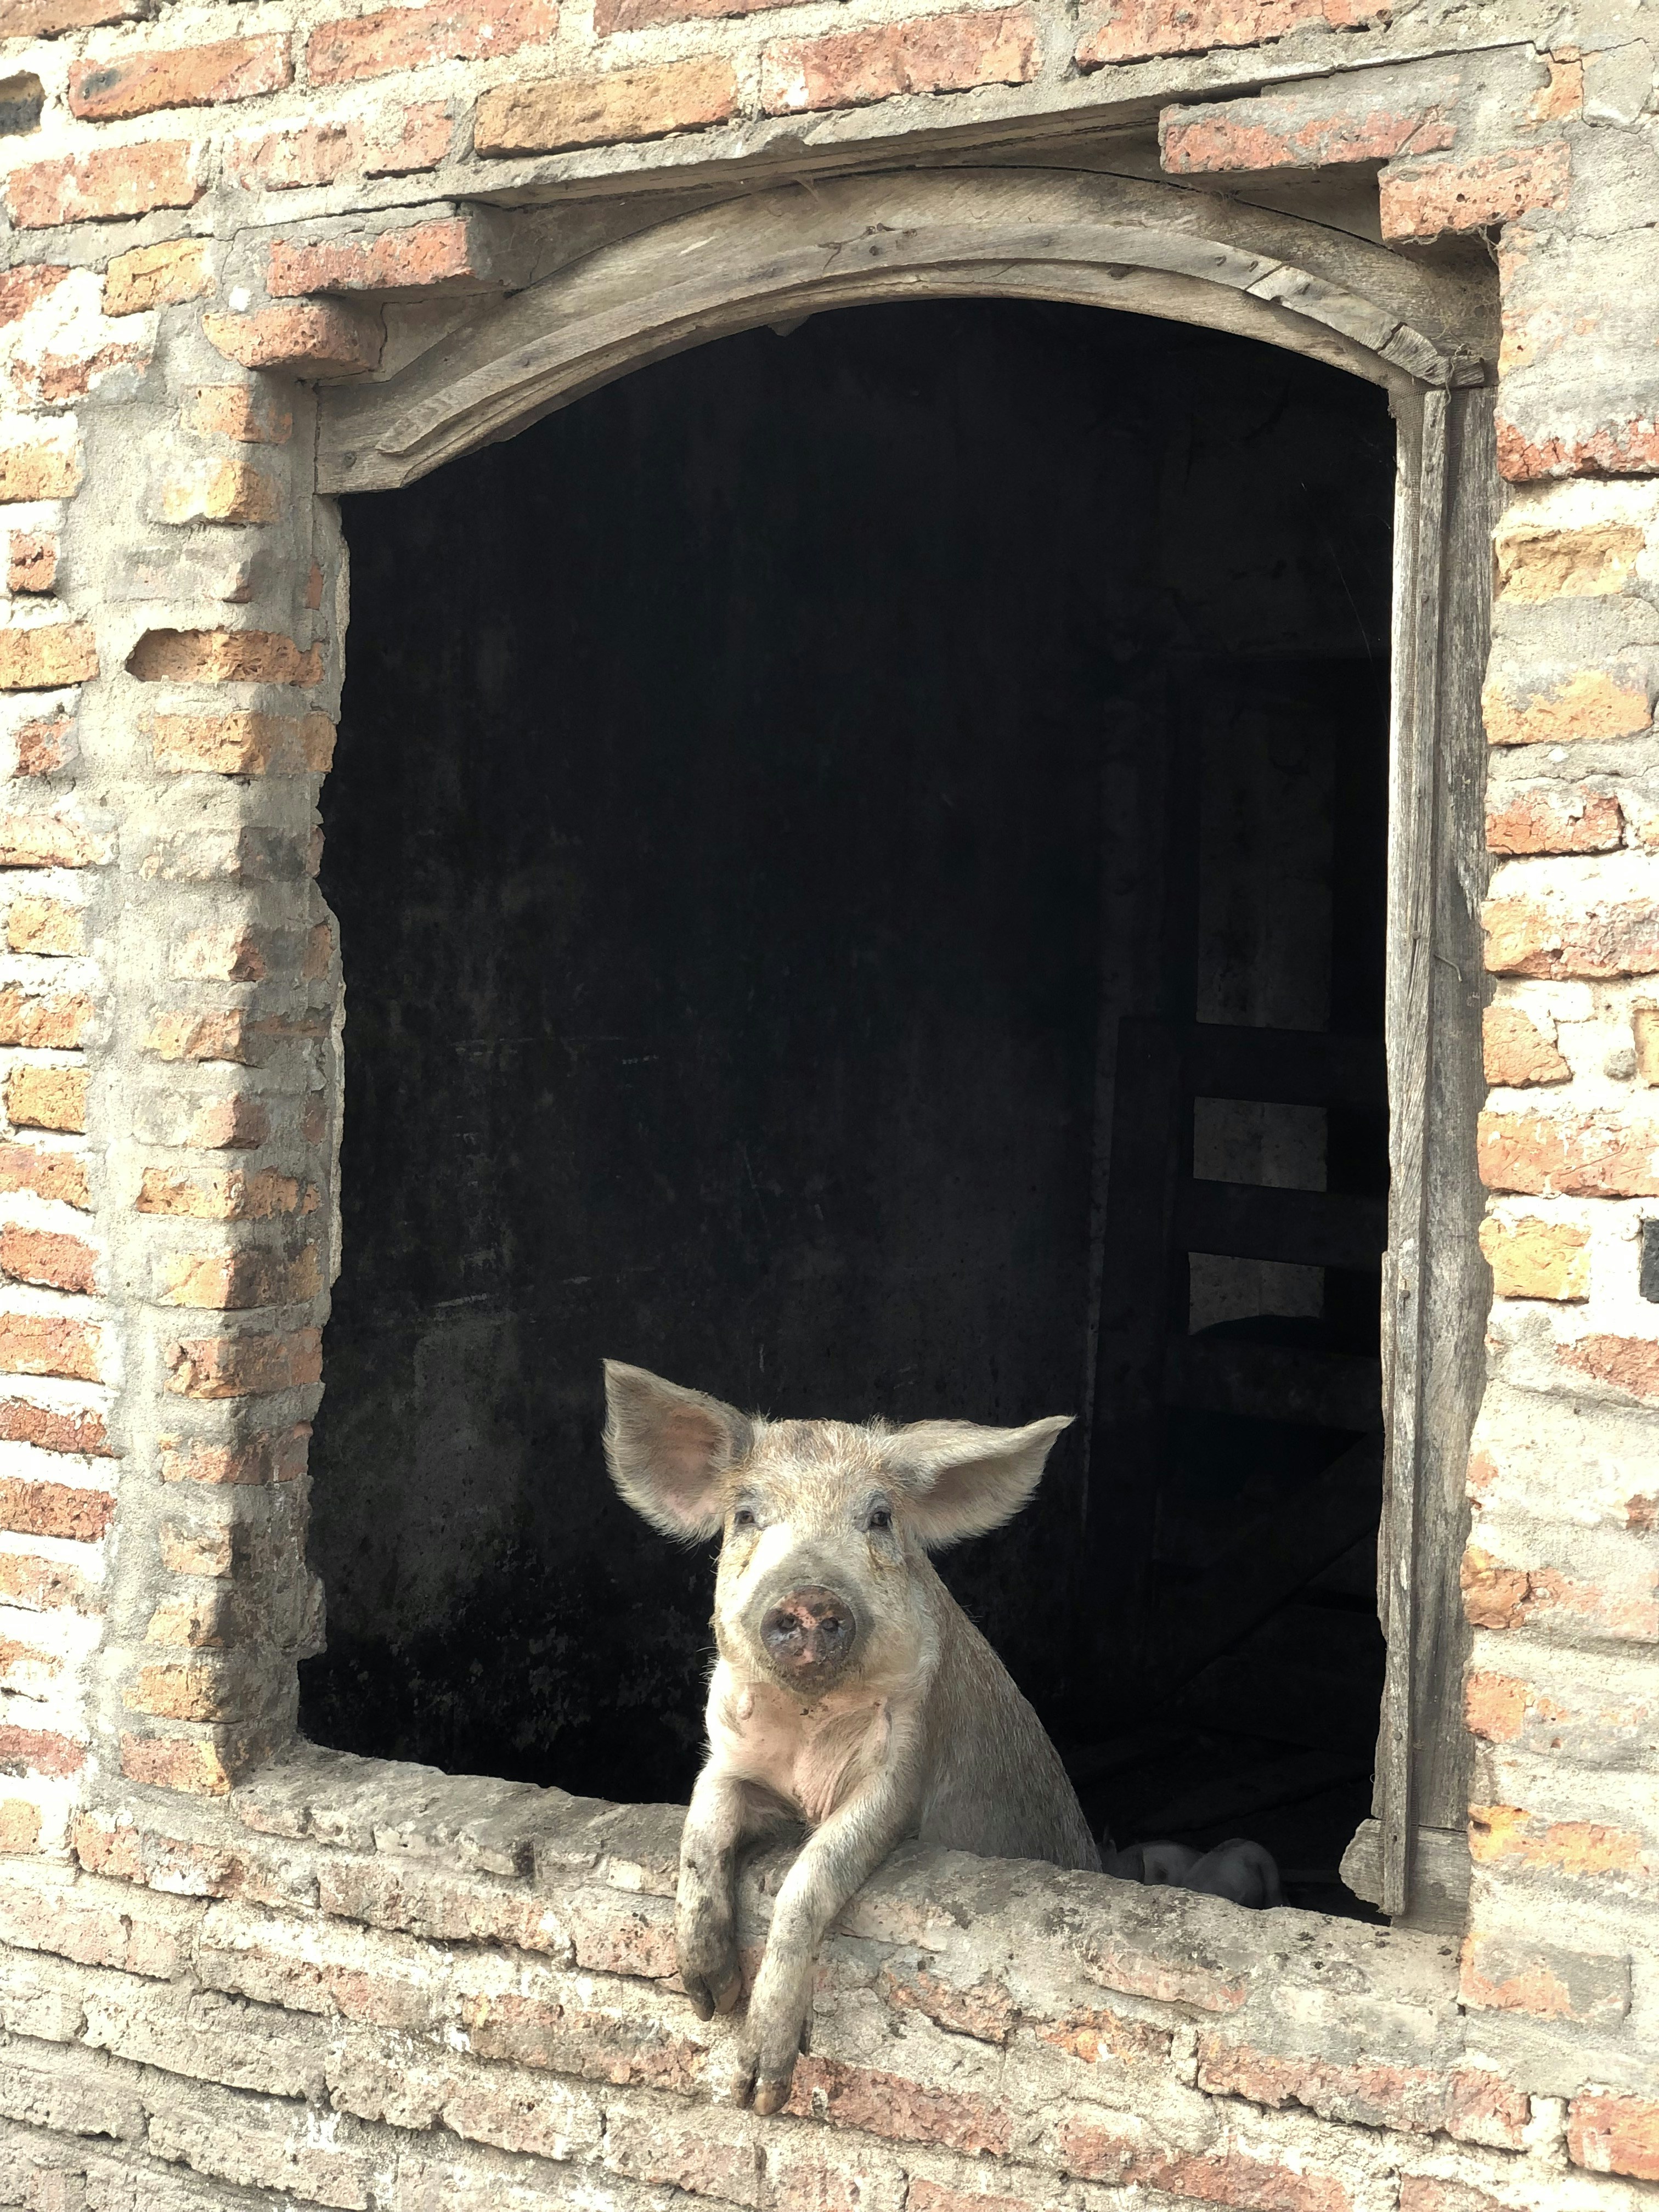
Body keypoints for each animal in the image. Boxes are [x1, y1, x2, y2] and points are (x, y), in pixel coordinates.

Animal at [603, 1359, 1100, 2113]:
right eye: (746, 1515)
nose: (810, 1597)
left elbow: (812, 1875)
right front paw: (709, 1997)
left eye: (879, 1517)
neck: (808, 1734)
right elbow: (700, 1826)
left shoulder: (901, 1774)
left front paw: (758, 2093)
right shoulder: (729, 1757)